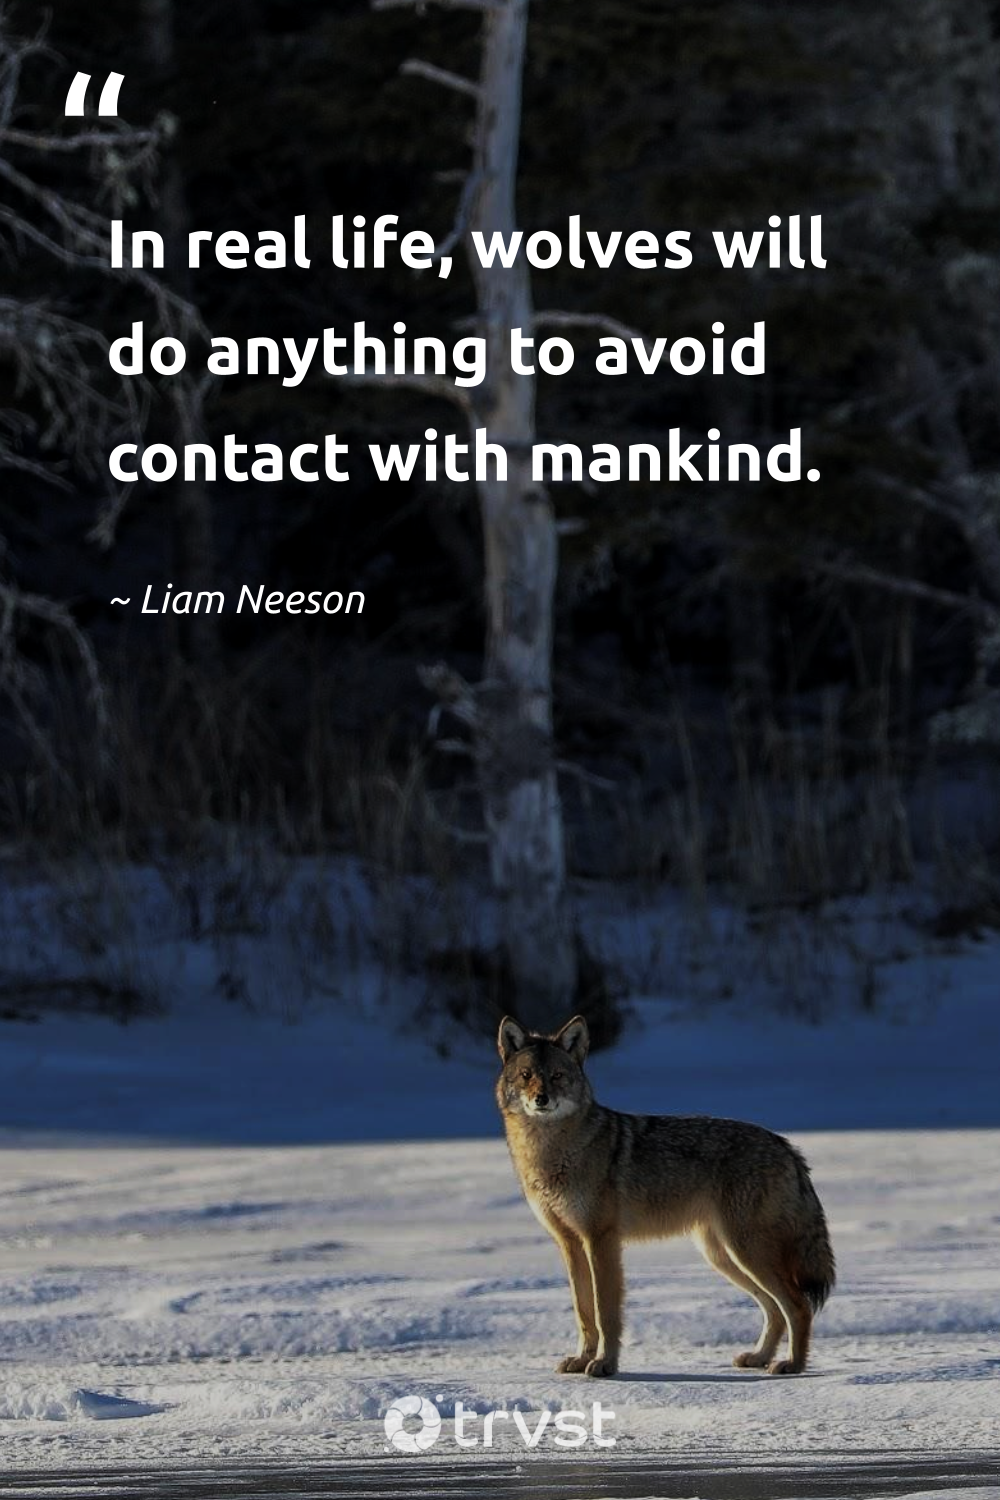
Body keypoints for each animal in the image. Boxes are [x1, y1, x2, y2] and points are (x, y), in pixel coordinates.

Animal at [496, 1013, 835, 1378]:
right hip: (724, 1256)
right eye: (527, 1076)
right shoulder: (570, 1243)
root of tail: (786, 1146)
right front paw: (582, 1359)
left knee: (798, 1306)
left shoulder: (601, 1240)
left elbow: (605, 1312)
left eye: (557, 1076)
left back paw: (793, 1364)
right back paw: (760, 1357)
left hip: (746, 1252)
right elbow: (583, 1311)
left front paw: (605, 1363)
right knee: (774, 1309)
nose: (541, 1099)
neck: (552, 1152)